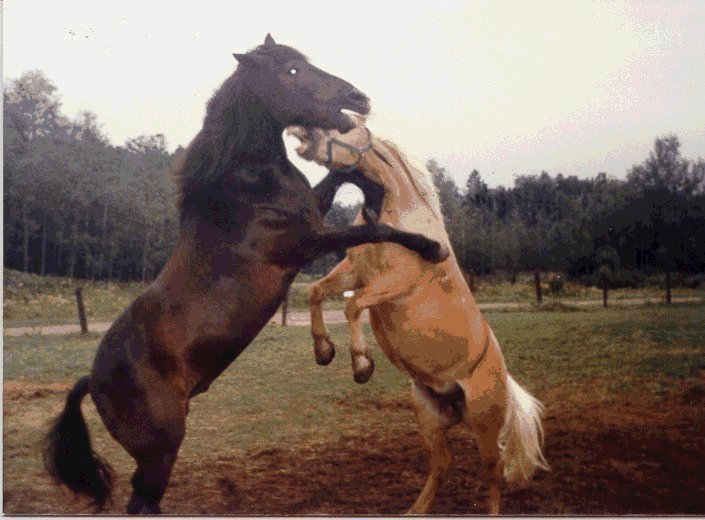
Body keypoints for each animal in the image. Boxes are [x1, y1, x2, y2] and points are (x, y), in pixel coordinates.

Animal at [42, 35, 449, 515]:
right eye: (291, 70)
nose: (358, 98)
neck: (245, 191)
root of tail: (94, 380)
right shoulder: (303, 245)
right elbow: (377, 228)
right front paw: (432, 248)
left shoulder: (314, 213)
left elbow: (343, 177)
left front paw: (375, 192)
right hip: (161, 448)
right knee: (142, 503)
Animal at [288, 116, 548, 515]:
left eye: (345, 125)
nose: (299, 130)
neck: (399, 215)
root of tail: (503, 378)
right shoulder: (354, 272)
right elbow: (317, 293)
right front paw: (323, 350)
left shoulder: (393, 282)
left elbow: (352, 305)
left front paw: (361, 364)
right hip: (429, 415)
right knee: (442, 465)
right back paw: (414, 510)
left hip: (484, 421)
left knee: (493, 470)